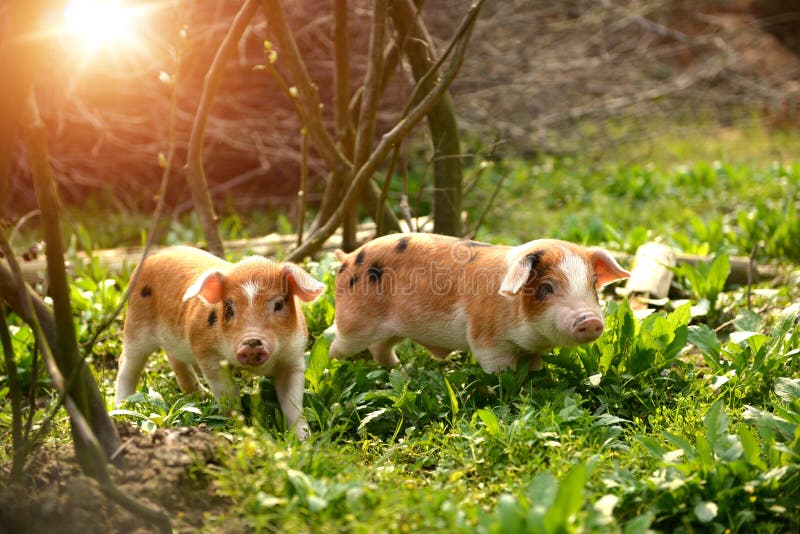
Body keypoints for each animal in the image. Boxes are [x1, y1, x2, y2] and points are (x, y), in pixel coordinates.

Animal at [114, 246, 325, 439]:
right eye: (229, 307)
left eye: (279, 304)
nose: (251, 342)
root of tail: (151, 258)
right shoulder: (207, 355)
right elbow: (228, 393)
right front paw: (238, 426)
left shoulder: (294, 357)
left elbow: (293, 402)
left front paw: (303, 439)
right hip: (136, 325)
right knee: (127, 363)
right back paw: (122, 408)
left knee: (174, 360)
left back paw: (201, 396)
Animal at [330, 234, 630, 373]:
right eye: (546, 288)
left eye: (592, 285)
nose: (590, 321)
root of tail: (347, 257)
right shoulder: (487, 339)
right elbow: (498, 367)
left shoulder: (530, 350)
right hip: (353, 323)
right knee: (335, 345)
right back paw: (332, 369)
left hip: (394, 328)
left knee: (381, 348)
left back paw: (402, 370)